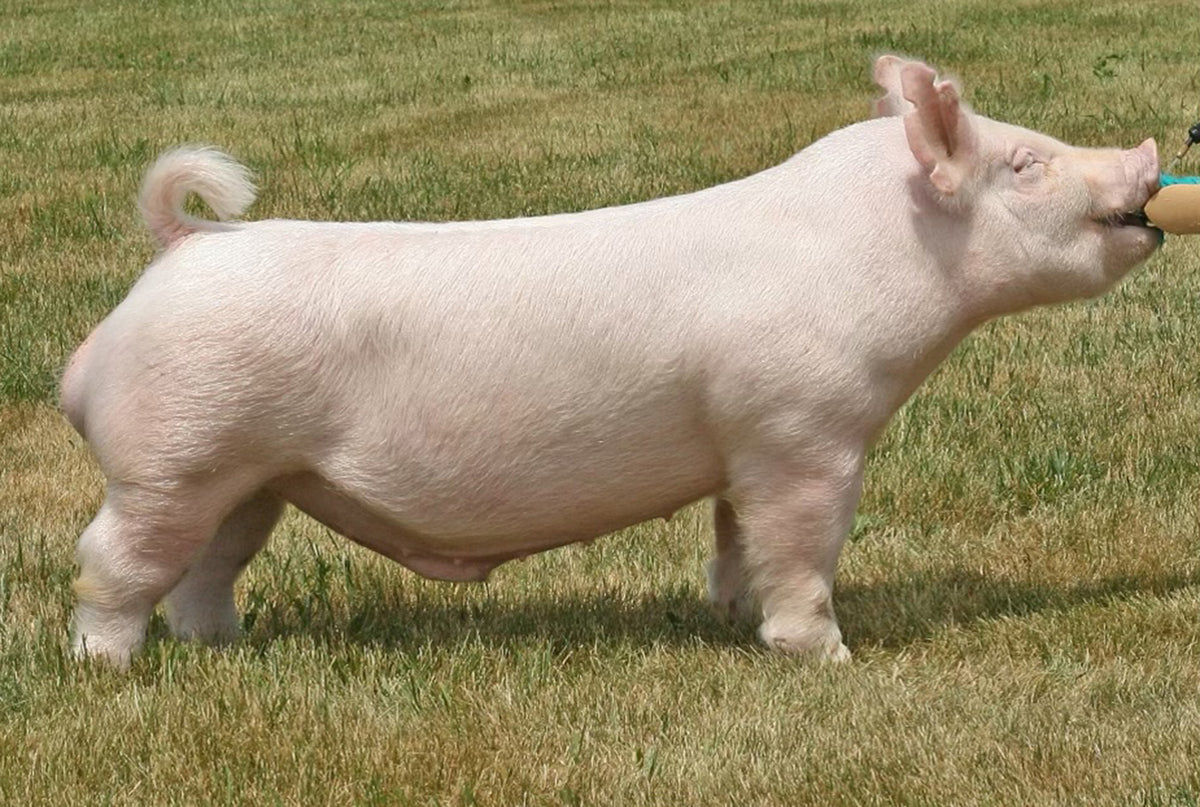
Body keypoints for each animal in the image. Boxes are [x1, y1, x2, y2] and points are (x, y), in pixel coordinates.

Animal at [60, 56, 1162, 667]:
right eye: (1024, 163)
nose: (1149, 155)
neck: (880, 251)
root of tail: (183, 245)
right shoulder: (804, 432)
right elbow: (803, 545)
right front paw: (827, 656)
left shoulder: (743, 443)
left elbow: (735, 537)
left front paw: (731, 617)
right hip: (173, 457)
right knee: (114, 559)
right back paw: (109, 667)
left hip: (254, 471)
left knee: (210, 566)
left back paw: (225, 648)